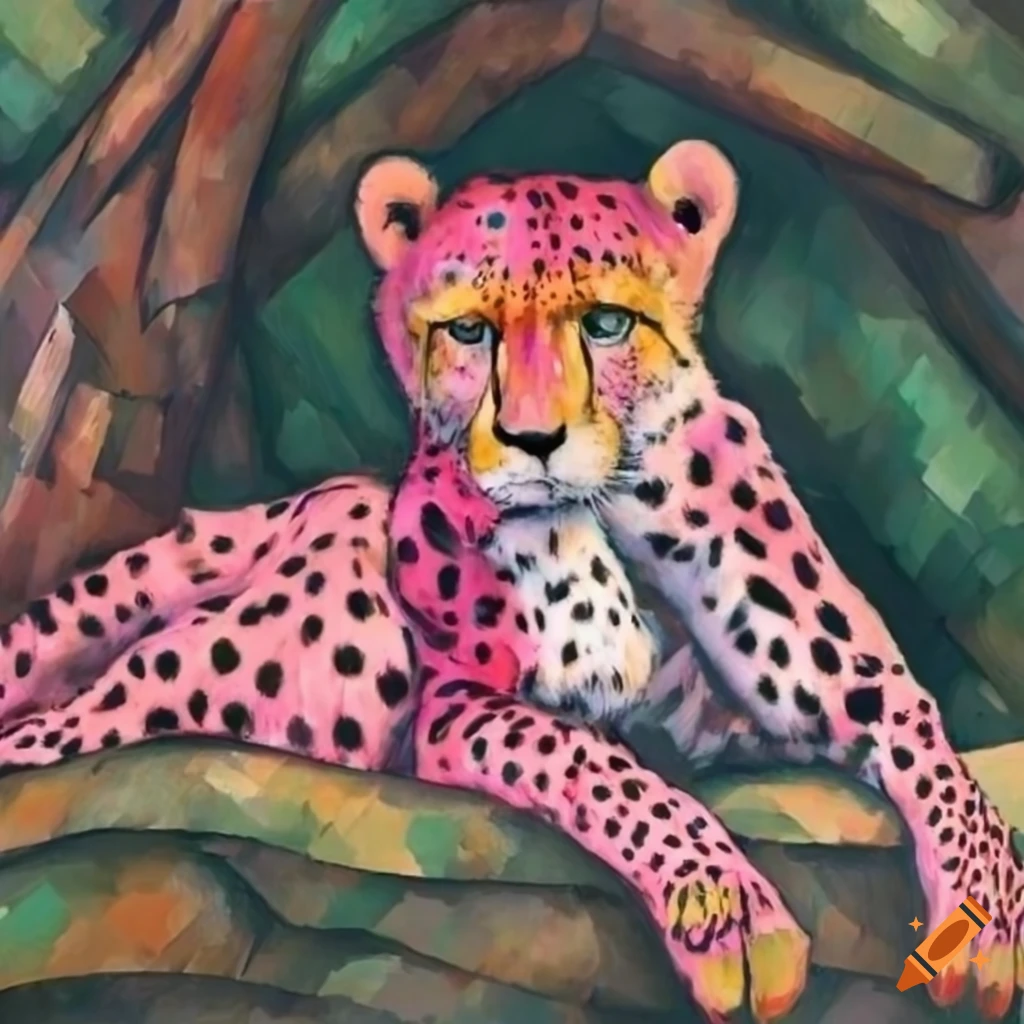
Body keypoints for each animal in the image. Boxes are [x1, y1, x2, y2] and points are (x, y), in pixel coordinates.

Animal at [0, 139, 1020, 1023]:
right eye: (466, 330)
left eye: (606, 323)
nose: (534, 441)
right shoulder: (459, 707)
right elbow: (602, 764)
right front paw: (725, 910)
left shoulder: (841, 689)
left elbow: (930, 749)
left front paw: (984, 918)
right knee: (70, 734)